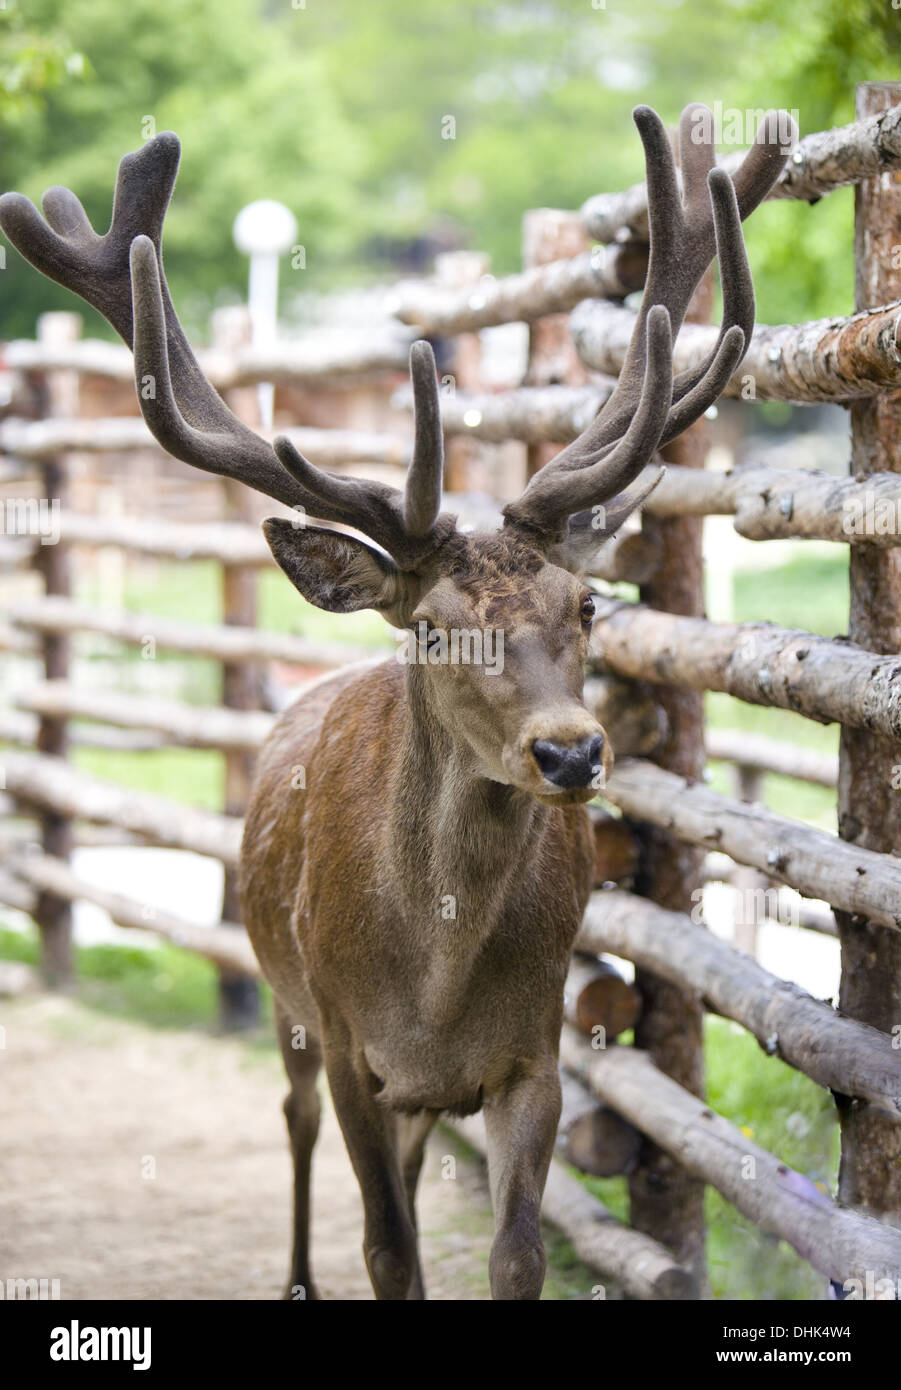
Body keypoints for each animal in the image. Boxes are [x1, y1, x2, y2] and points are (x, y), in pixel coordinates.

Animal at [0, 101, 794, 1300]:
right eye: (430, 625)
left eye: (588, 602)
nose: (571, 753)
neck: (431, 991)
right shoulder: (344, 1042)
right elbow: (384, 1247)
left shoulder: (533, 1057)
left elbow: (513, 1255)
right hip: (284, 1002)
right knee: (291, 1125)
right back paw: (293, 1277)